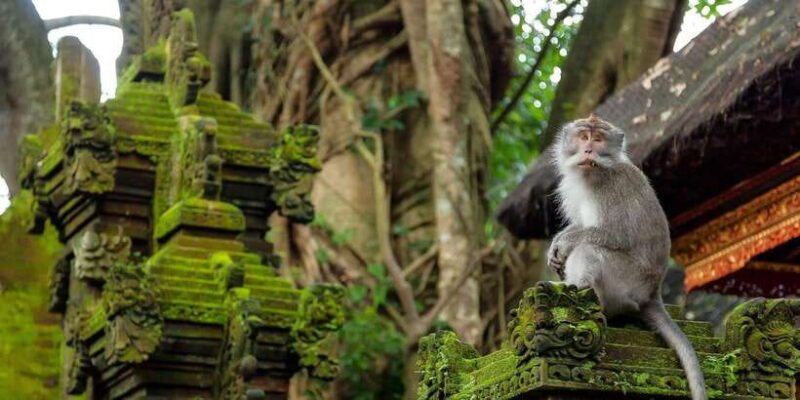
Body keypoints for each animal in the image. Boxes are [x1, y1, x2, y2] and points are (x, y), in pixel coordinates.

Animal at [546, 114, 707, 400]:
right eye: (584, 137)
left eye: (598, 139)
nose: (588, 150)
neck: (593, 175)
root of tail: (653, 293)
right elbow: (580, 225)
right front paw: (556, 245)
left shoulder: (613, 187)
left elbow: (616, 235)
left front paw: (564, 244)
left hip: (627, 283)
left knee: (589, 250)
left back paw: (574, 290)